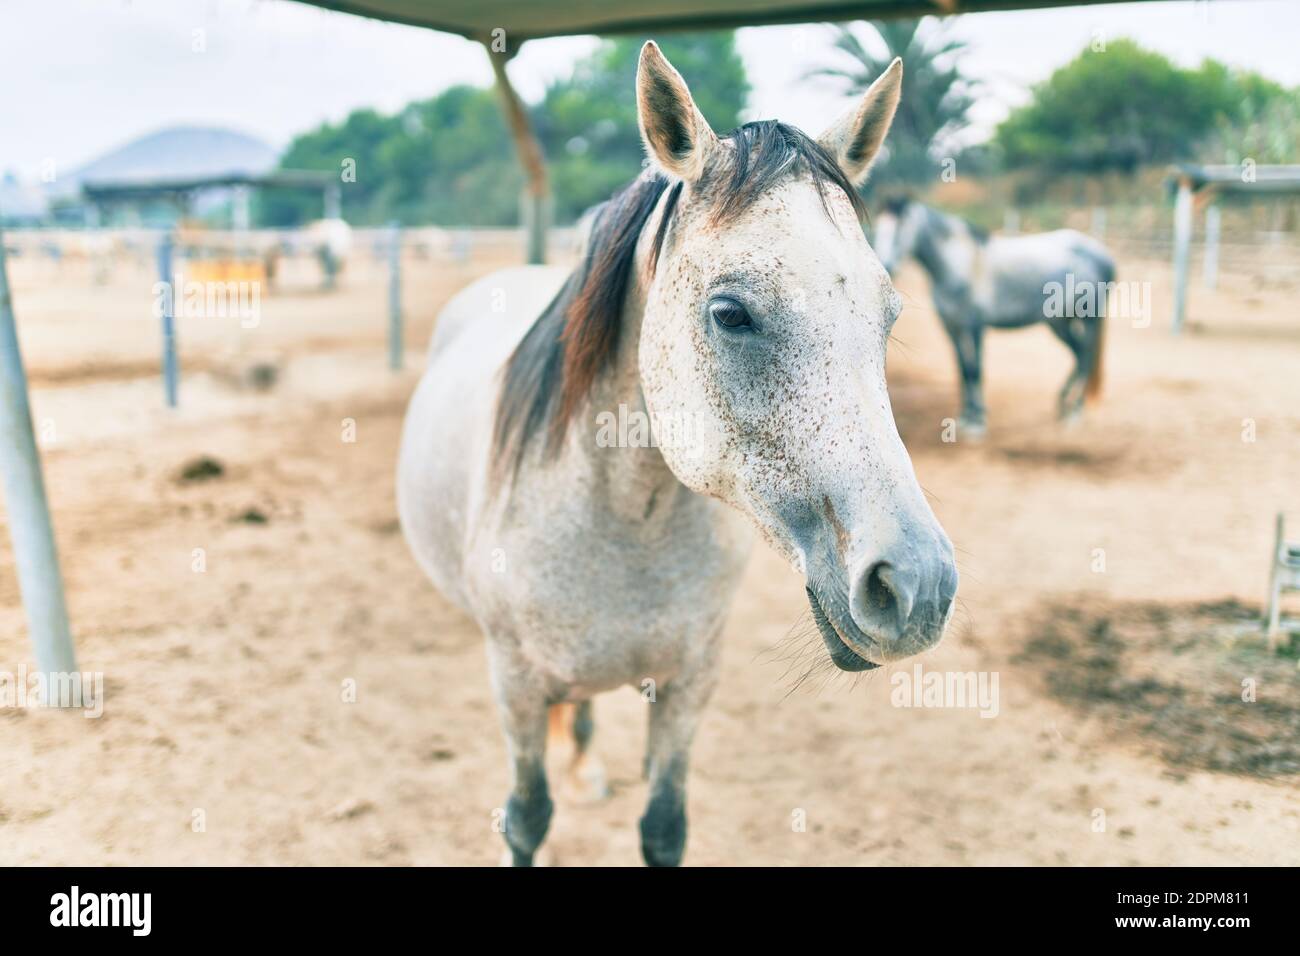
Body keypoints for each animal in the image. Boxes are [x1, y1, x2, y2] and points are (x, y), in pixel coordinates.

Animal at [397, 43, 958, 867]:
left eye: (889, 315)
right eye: (729, 313)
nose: (915, 587)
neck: (623, 519)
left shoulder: (690, 682)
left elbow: (664, 825)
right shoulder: (516, 686)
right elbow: (526, 817)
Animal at [870, 198, 1115, 436]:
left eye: (901, 226)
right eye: (878, 226)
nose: (887, 266)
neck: (960, 264)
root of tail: (1102, 255)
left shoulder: (975, 326)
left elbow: (976, 369)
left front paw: (978, 421)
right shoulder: (951, 327)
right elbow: (963, 370)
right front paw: (966, 417)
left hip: (1088, 320)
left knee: (1086, 356)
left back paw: (1075, 411)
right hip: (1060, 322)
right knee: (1080, 354)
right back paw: (1064, 405)